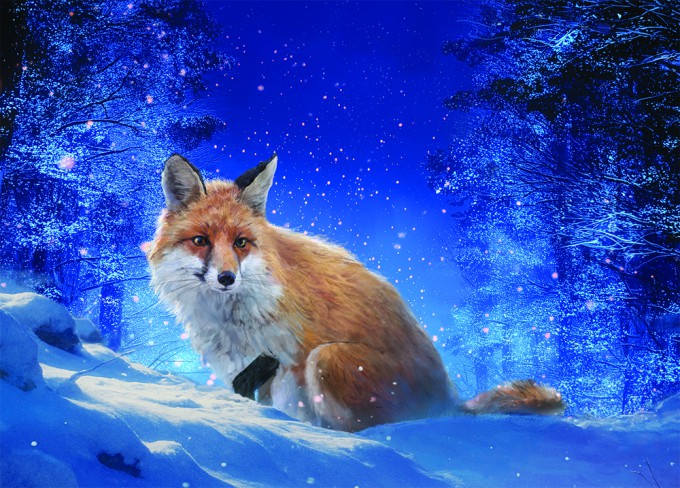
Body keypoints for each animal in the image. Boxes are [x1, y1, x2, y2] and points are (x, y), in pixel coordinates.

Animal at [147, 153, 564, 432]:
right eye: (201, 241)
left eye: (241, 243)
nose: (227, 278)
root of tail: (447, 400)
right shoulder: (248, 370)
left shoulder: (286, 363)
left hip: (327, 358)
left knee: (369, 429)